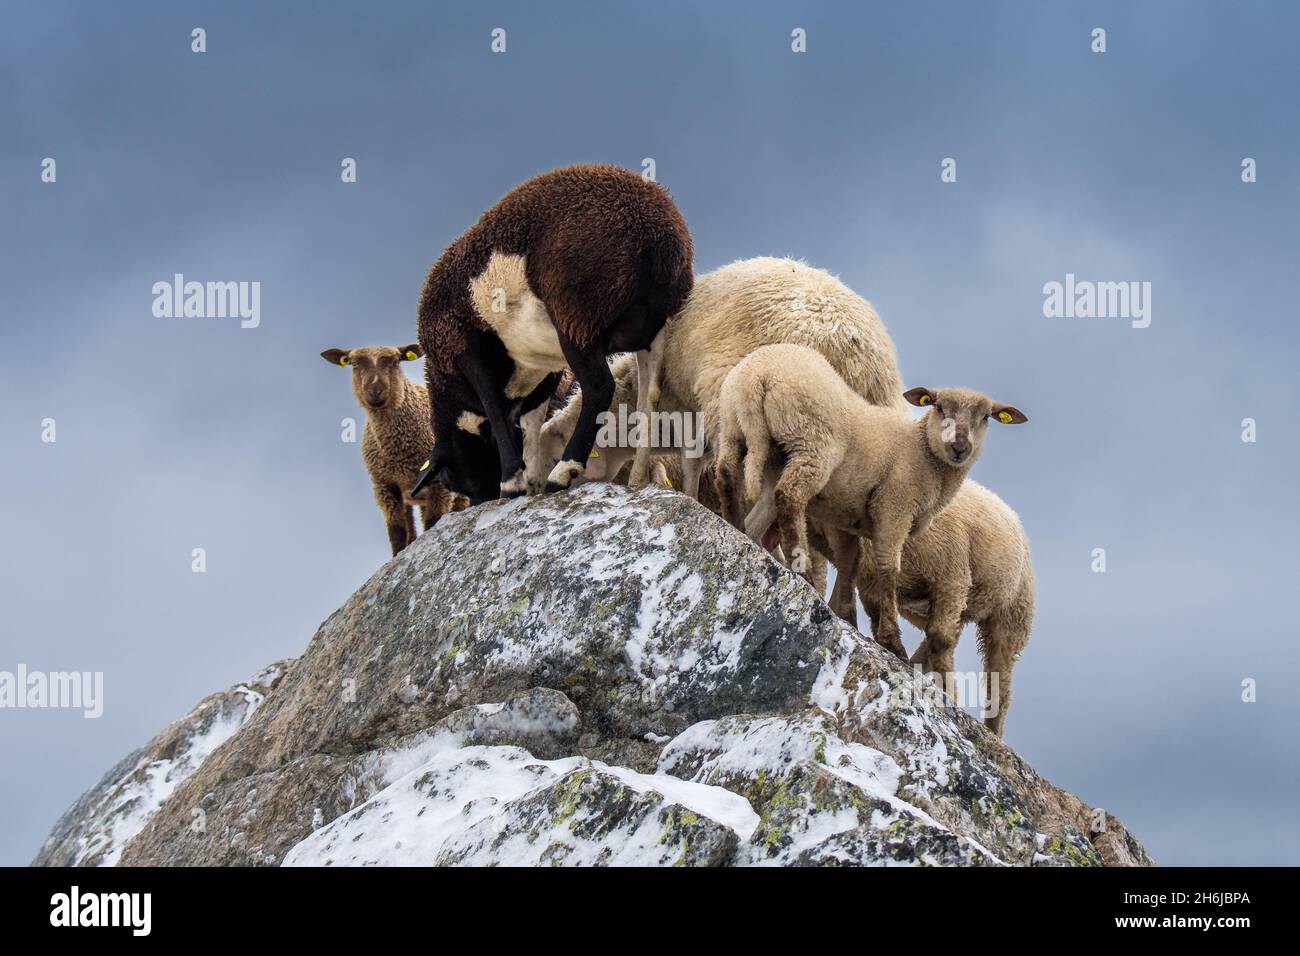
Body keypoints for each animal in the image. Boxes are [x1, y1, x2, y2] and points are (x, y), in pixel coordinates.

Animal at [320, 344, 466, 555]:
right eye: (353, 363)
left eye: (396, 361)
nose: (375, 392)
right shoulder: (385, 485)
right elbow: (397, 532)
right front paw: (398, 556)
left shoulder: (438, 483)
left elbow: (434, 522)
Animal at [411, 164, 693, 505]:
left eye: (454, 478)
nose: (485, 502)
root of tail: (664, 236)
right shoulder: (544, 367)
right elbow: (529, 420)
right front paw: (530, 480)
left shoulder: (463, 346)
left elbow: (495, 409)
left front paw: (512, 483)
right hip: (654, 327)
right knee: (647, 396)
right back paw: (637, 479)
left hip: (577, 315)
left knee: (599, 386)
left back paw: (564, 472)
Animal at [713, 343, 1028, 660]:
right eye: (938, 406)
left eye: (986, 417)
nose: (960, 447)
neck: (924, 454)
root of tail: (761, 374)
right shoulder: (894, 507)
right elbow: (888, 569)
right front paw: (891, 641)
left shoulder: (845, 515)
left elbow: (849, 562)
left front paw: (847, 618)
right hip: (812, 445)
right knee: (788, 498)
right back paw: (802, 570)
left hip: (737, 428)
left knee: (730, 477)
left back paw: (736, 525)